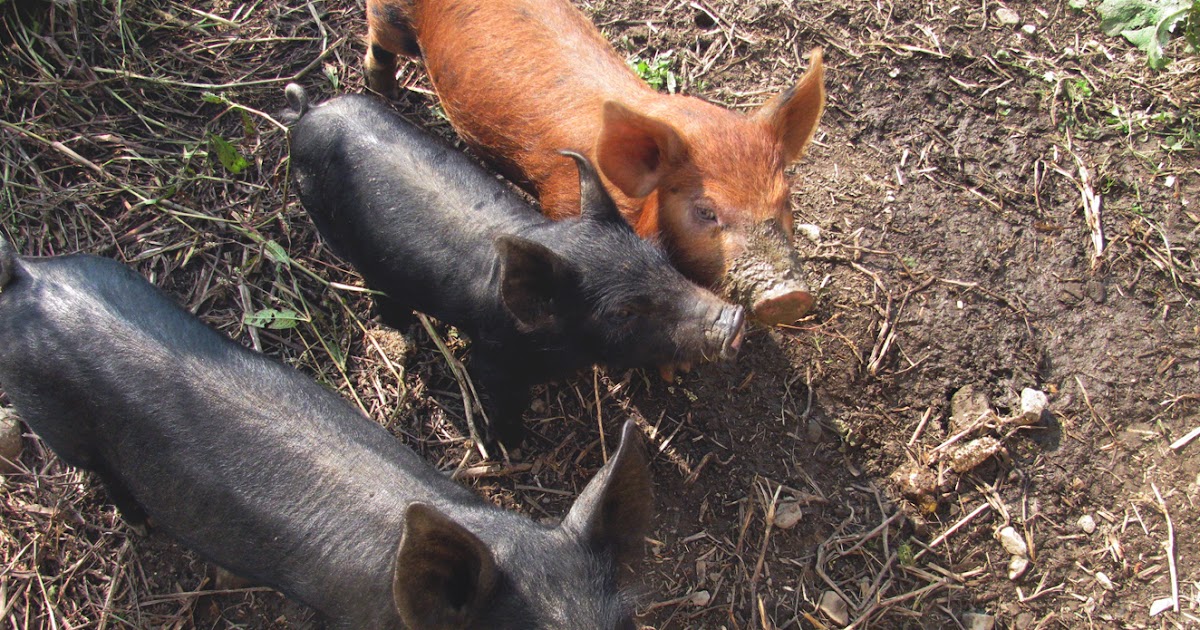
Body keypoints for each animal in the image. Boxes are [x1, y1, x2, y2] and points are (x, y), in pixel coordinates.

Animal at [283, 84, 744, 447]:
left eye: (659, 258)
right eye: (622, 312)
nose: (735, 319)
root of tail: (310, 111)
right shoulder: (492, 360)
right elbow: (502, 398)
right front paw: (510, 444)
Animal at [362, 0, 827, 325]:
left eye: (786, 200)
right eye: (706, 211)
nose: (790, 297)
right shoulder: (561, 199)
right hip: (393, 16)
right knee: (379, 39)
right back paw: (383, 89)